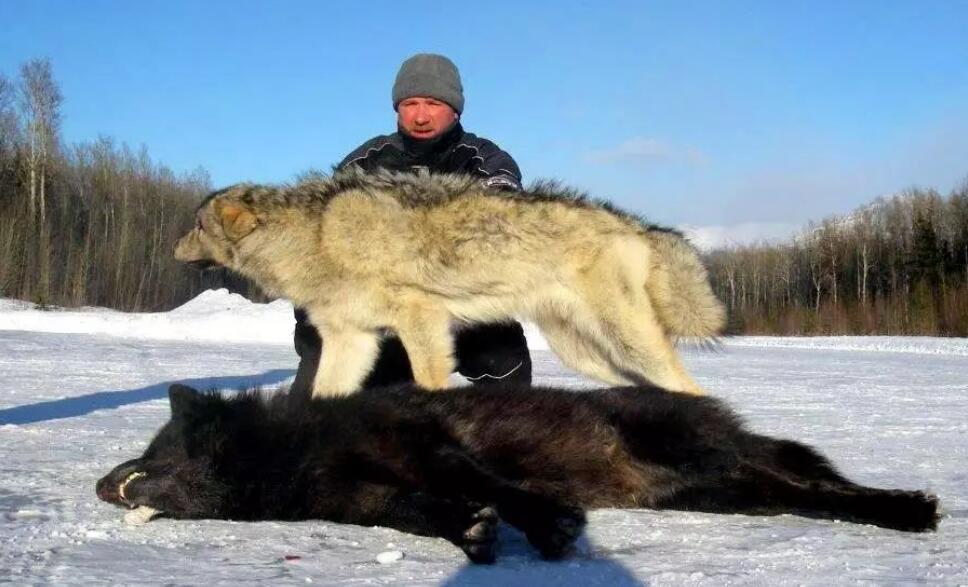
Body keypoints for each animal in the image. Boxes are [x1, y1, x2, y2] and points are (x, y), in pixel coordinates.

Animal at [173, 169, 726, 397]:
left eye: (197, 226)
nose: (173, 248)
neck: (315, 237)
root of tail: (636, 225)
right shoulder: (352, 339)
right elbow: (323, 394)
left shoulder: (421, 317)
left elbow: (430, 383)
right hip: (586, 354)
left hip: (624, 341)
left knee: (692, 388)